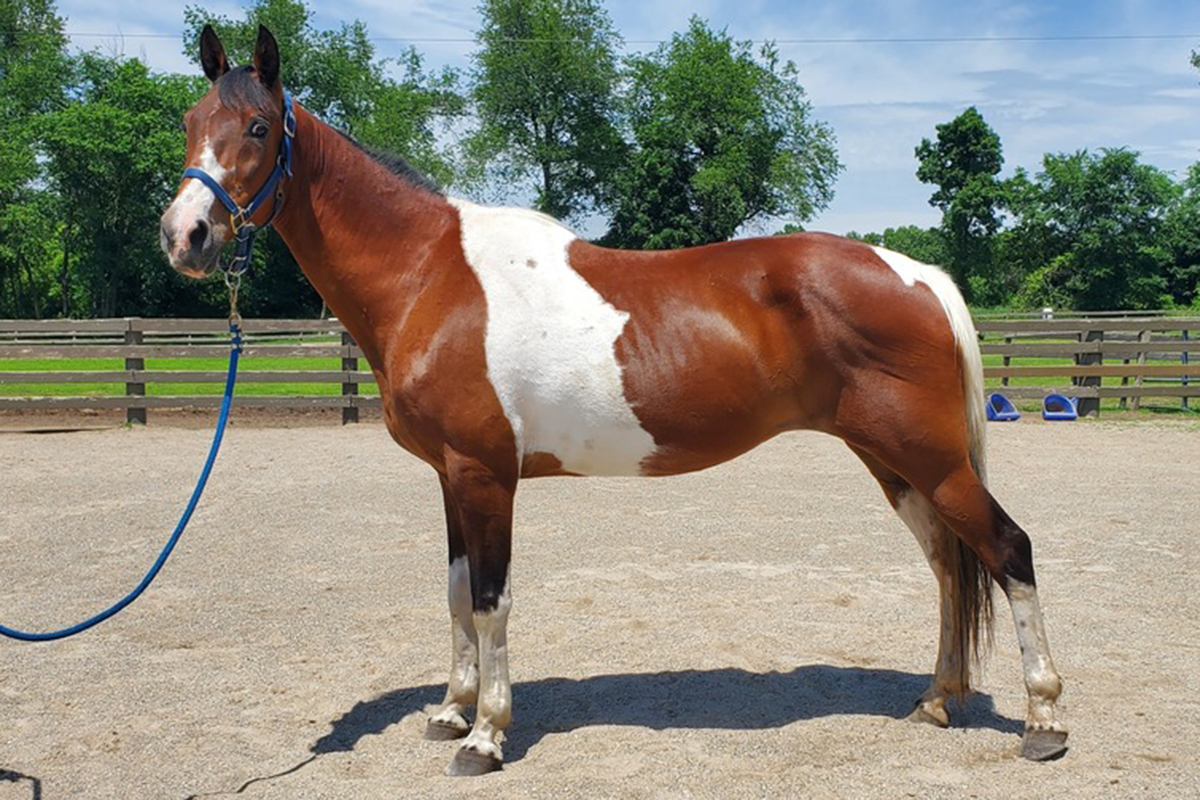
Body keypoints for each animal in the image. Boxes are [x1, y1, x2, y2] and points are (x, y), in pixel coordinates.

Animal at [160, 25, 1067, 775]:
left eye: (258, 129)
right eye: (189, 120)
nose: (185, 236)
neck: (430, 274)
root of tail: (917, 274)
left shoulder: (485, 475)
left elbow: (490, 600)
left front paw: (486, 737)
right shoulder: (451, 476)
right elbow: (455, 593)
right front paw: (449, 712)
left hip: (928, 459)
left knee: (1007, 551)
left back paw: (1044, 722)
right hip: (894, 461)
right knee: (950, 566)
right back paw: (937, 701)